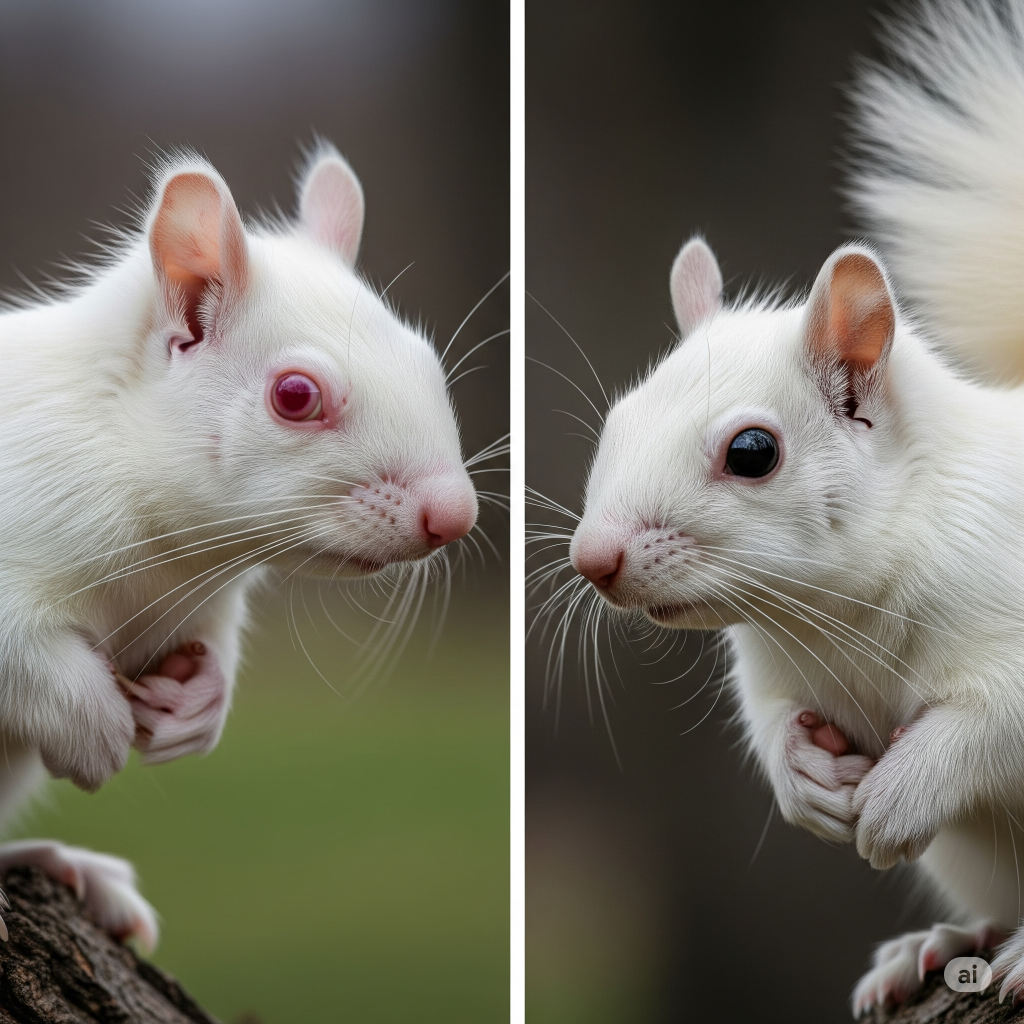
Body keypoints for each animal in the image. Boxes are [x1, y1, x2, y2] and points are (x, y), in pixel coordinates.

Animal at [0, 142, 477, 949]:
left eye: (426, 358)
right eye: (295, 396)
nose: (456, 515)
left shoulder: (200, 602)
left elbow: (213, 649)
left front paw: (198, 706)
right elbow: (24, 653)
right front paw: (95, 727)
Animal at [569, 0, 1024, 1012]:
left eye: (753, 453)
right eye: (618, 419)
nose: (593, 560)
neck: (834, 615)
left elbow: (989, 724)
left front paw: (897, 795)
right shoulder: (773, 665)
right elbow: (770, 716)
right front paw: (805, 778)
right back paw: (943, 942)